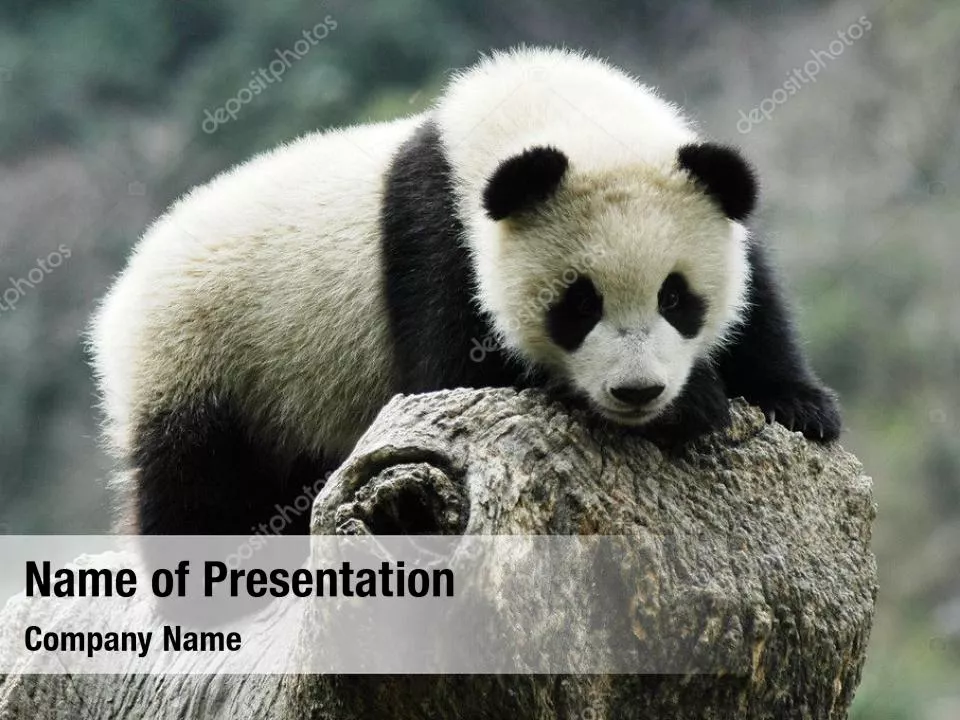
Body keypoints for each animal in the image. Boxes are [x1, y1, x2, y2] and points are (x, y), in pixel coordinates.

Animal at [89, 47, 840, 536]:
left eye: (677, 299)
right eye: (578, 306)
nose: (637, 392)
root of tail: (121, 292)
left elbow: (759, 308)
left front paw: (800, 404)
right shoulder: (436, 246)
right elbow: (456, 377)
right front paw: (698, 403)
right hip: (203, 357)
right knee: (195, 485)